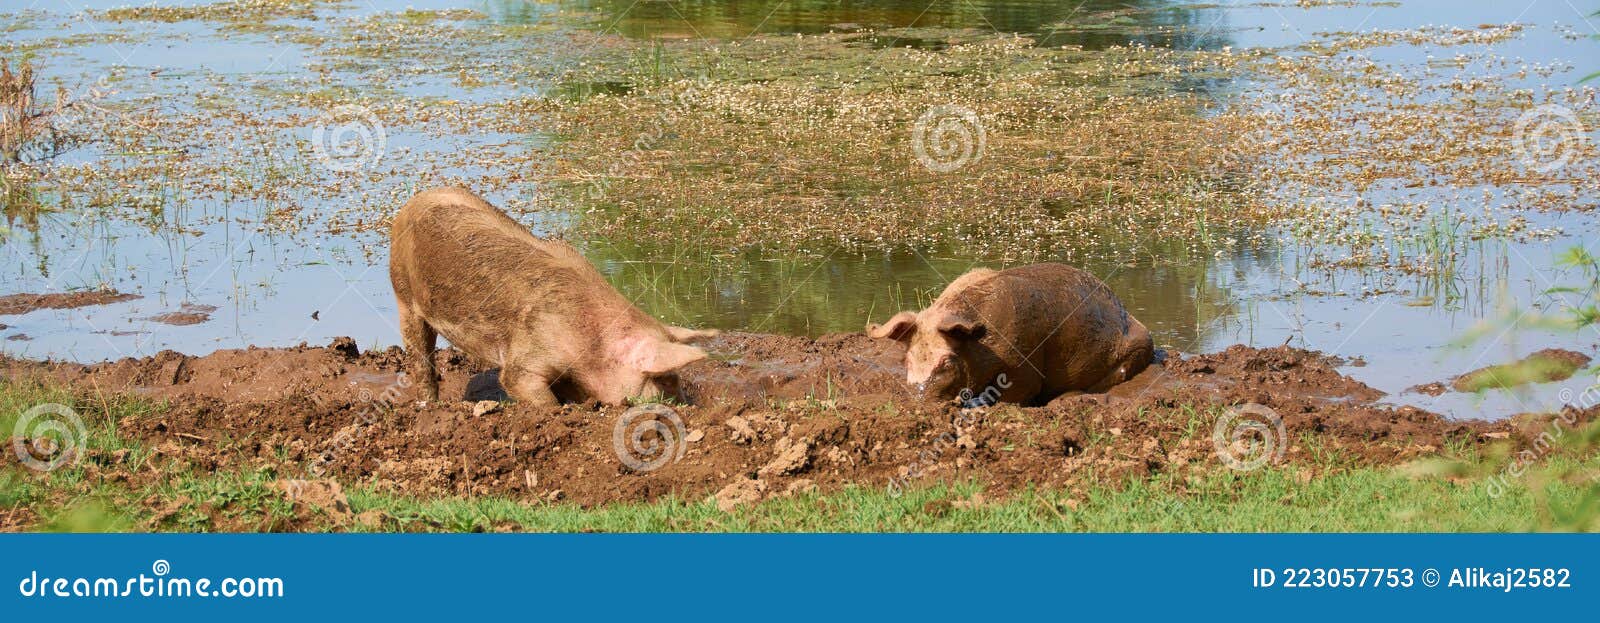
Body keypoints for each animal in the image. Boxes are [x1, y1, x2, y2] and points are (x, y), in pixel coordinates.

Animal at [389, 187, 716, 406]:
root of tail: (415, 200)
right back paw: (431, 405)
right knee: (420, 354)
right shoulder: (527, 357)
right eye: (663, 379)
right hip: (402, 292)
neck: (592, 340)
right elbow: (523, 387)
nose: (688, 406)